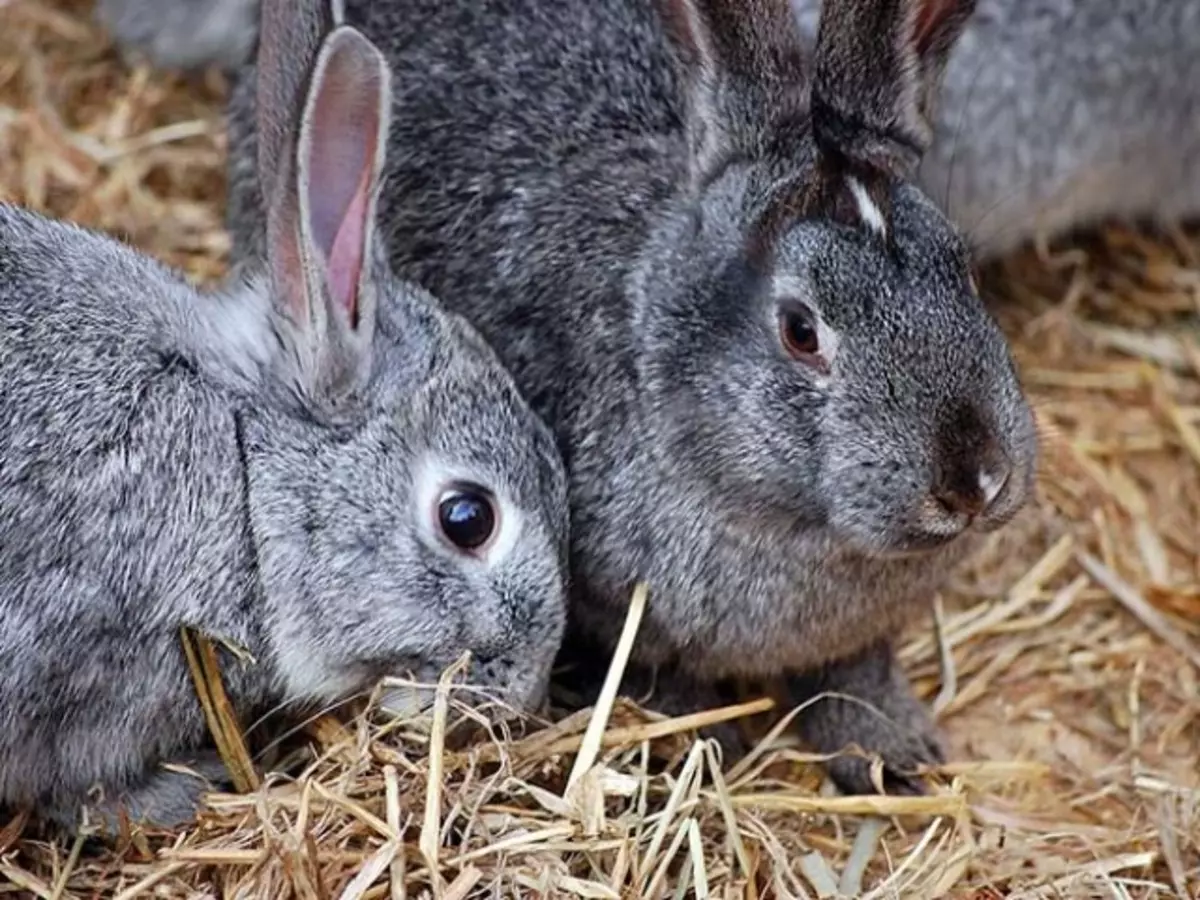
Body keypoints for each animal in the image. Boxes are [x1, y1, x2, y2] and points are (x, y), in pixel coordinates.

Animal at [218, 0, 1041, 792]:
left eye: (964, 273)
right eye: (801, 330)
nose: (975, 481)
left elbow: (854, 675)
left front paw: (892, 756)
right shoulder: (622, 619)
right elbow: (666, 684)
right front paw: (705, 751)